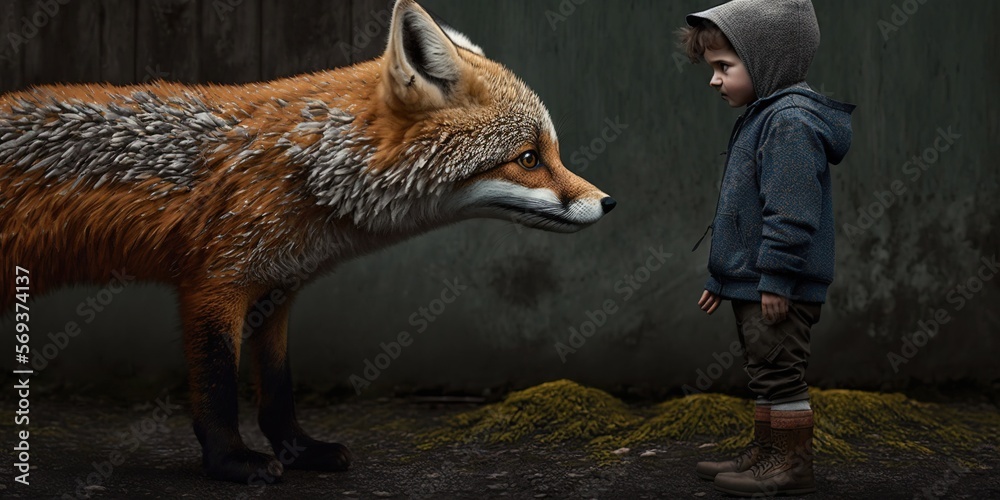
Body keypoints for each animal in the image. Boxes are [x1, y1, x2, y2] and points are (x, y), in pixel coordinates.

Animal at [0, 0, 614, 485]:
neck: (309, 172)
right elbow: (218, 387)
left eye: (552, 153)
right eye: (529, 159)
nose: (609, 203)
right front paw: (231, 463)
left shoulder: (278, 288)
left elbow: (277, 390)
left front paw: (298, 452)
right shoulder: (214, 286)